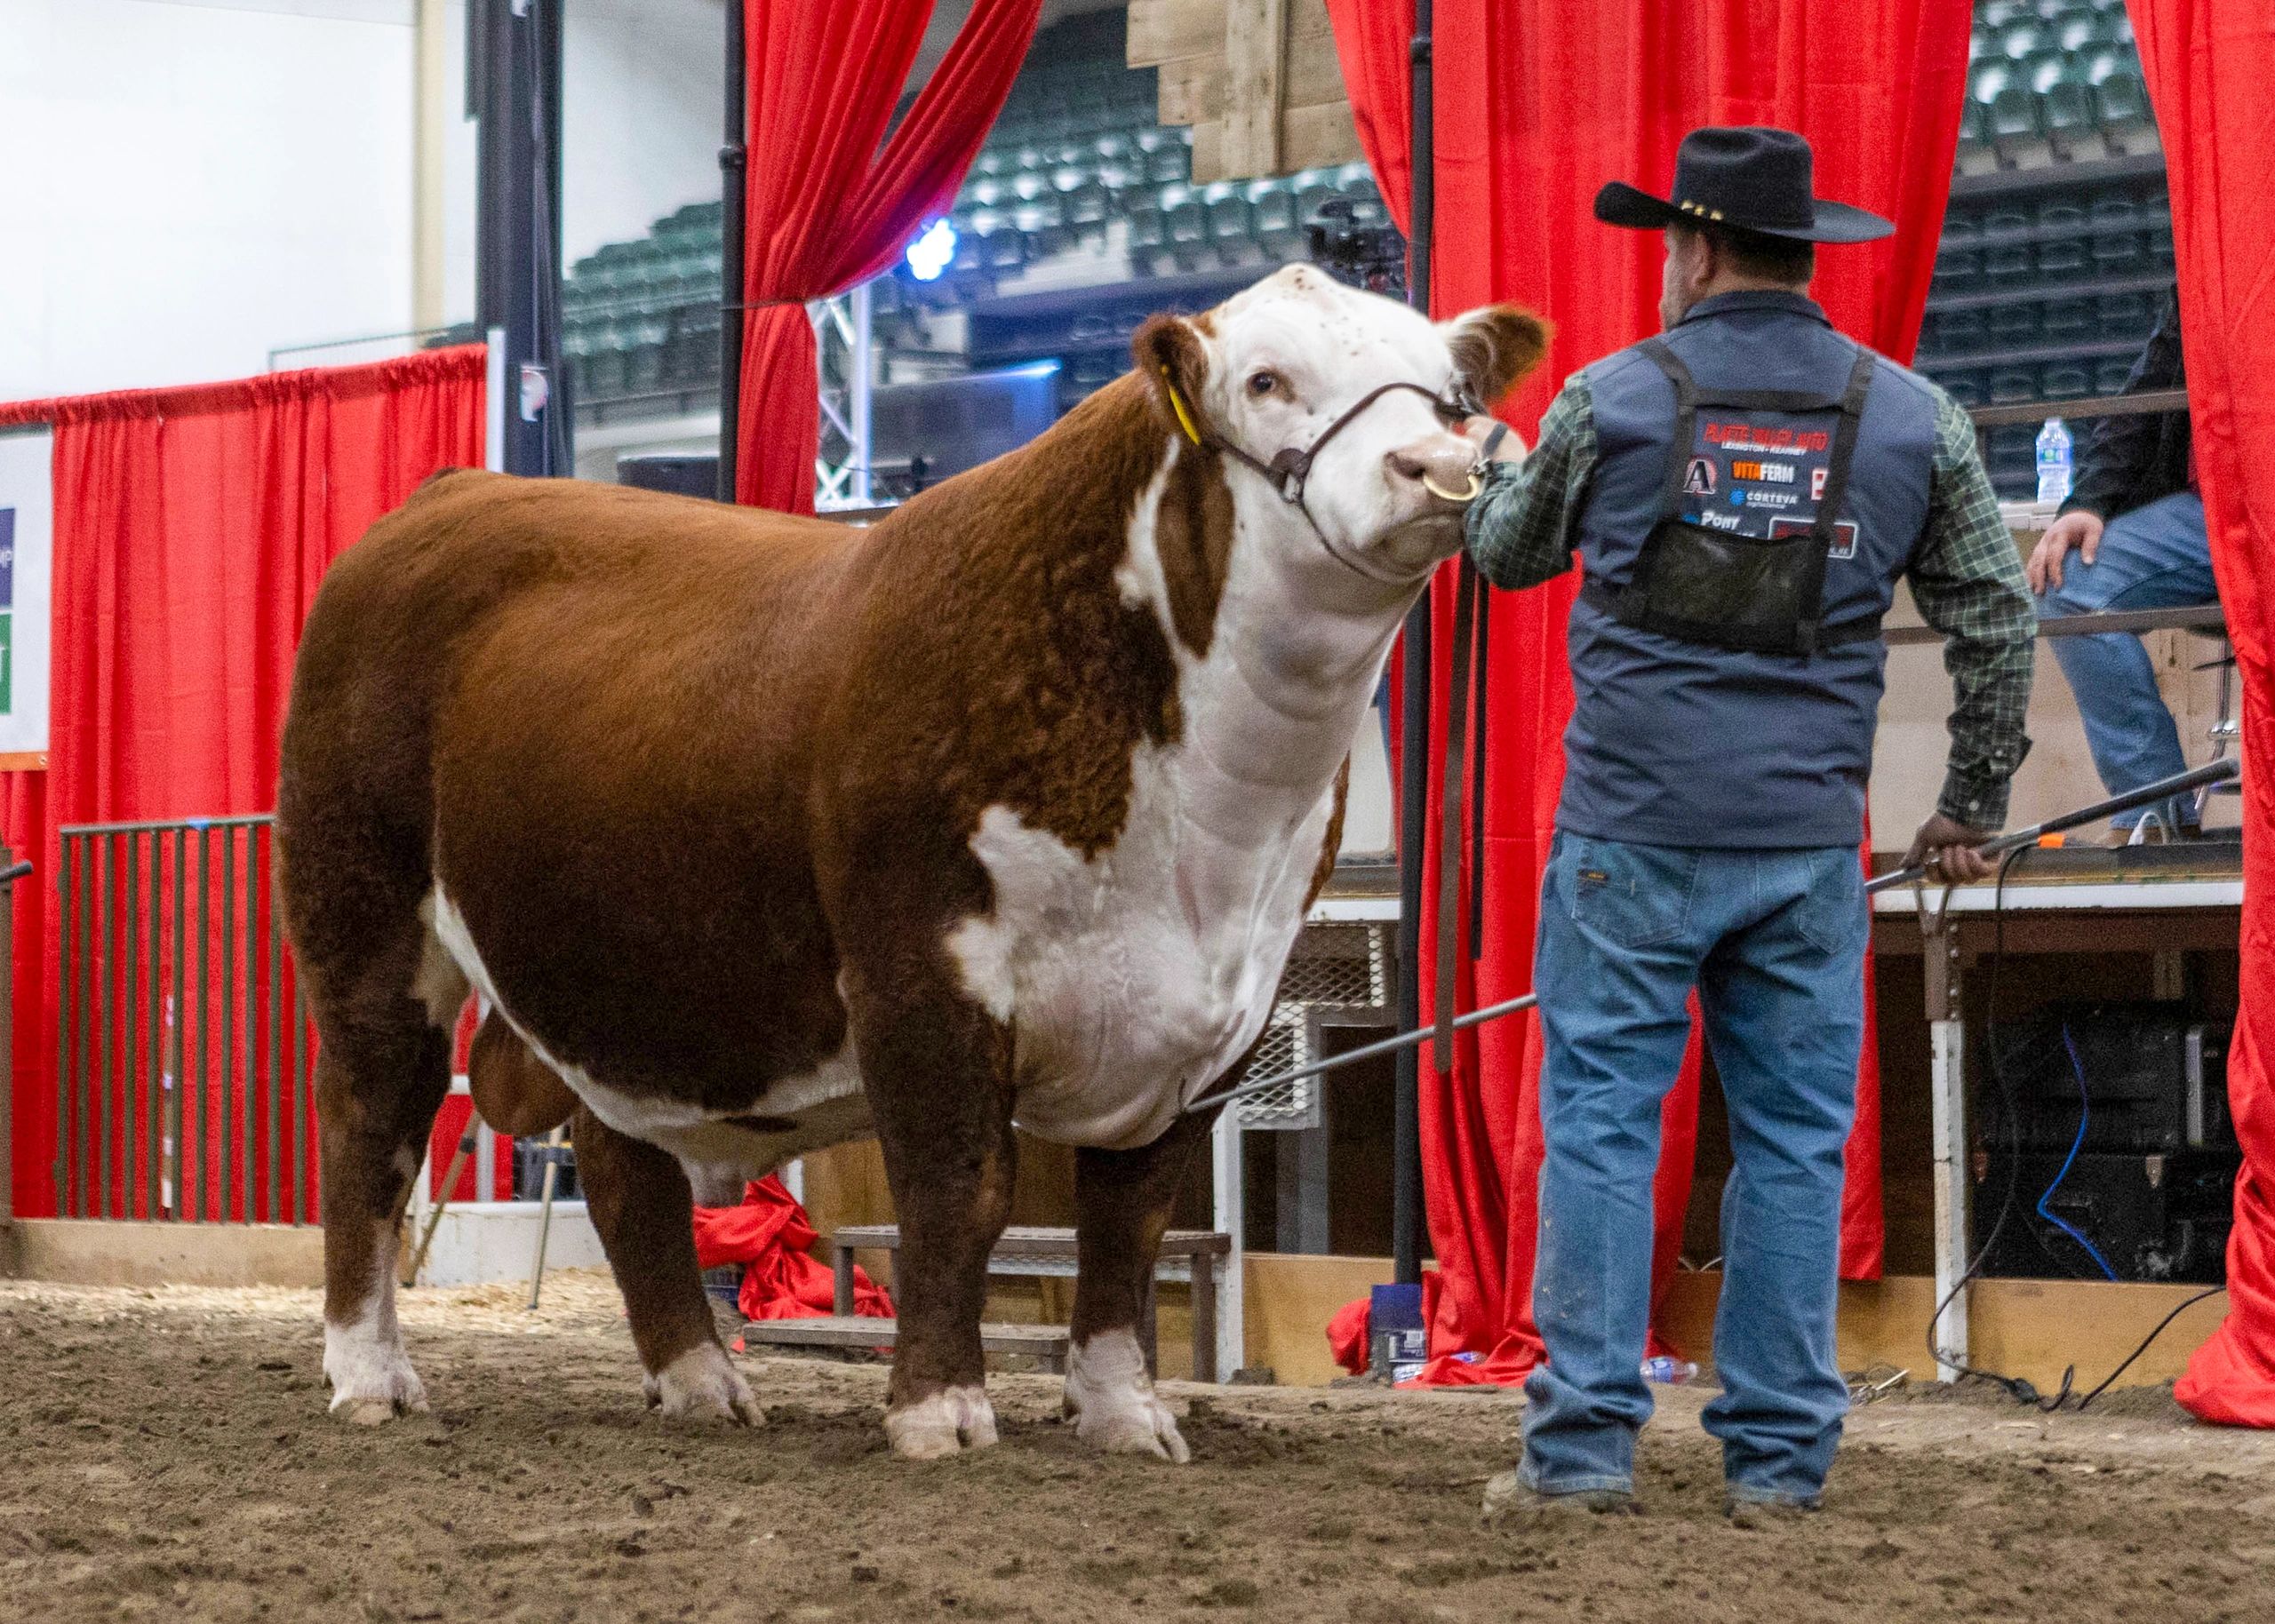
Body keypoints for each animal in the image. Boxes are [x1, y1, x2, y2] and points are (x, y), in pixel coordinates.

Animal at [277, 264, 1546, 1461]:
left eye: (1454, 389)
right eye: (1267, 379)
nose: (1435, 464)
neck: (1198, 835)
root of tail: (455, 491)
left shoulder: (1224, 1008)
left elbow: (1129, 1220)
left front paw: (1123, 1411)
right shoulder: (922, 964)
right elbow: (958, 1190)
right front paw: (940, 1411)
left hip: (629, 967)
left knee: (618, 1158)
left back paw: (699, 1378)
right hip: (364, 914)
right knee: (368, 1121)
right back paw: (370, 1374)